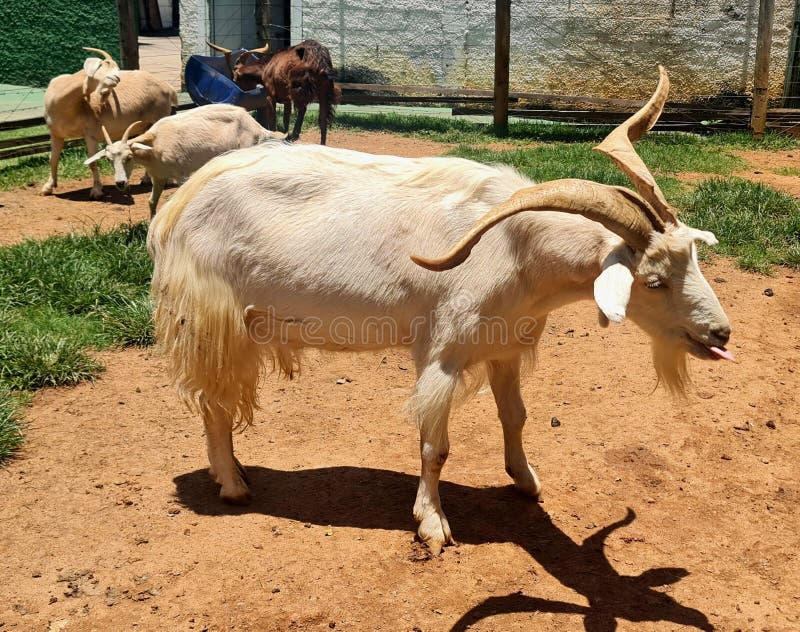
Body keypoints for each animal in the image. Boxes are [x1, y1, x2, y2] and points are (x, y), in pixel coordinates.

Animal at [41, 47, 178, 200]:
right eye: (101, 65)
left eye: (117, 69)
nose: (116, 79)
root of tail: (168, 87)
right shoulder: (55, 134)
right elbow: (53, 159)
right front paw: (48, 187)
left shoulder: (90, 134)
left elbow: (93, 162)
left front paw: (96, 191)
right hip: (145, 125)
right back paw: (146, 179)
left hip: (160, 117)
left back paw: (168, 181)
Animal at [84, 104, 284, 218]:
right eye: (108, 160)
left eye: (129, 157)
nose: (120, 183)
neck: (155, 145)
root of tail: (256, 126)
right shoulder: (158, 177)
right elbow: (151, 202)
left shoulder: (181, 175)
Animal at [148, 67, 732, 554]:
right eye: (653, 281)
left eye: (694, 258)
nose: (720, 333)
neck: (515, 249)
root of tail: (178, 206)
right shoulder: (442, 356)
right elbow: (435, 447)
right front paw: (432, 524)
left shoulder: (504, 348)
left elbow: (515, 417)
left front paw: (526, 481)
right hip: (213, 319)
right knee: (214, 402)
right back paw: (232, 485)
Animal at [210, 39, 341, 144]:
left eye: (236, 79)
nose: (237, 88)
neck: (266, 67)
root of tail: (318, 56)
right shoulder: (286, 99)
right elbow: (286, 119)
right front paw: (284, 136)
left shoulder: (270, 96)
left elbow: (273, 119)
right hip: (324, 90)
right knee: (323, 118)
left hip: (298, 88)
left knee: (303, 109)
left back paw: (294, 136)